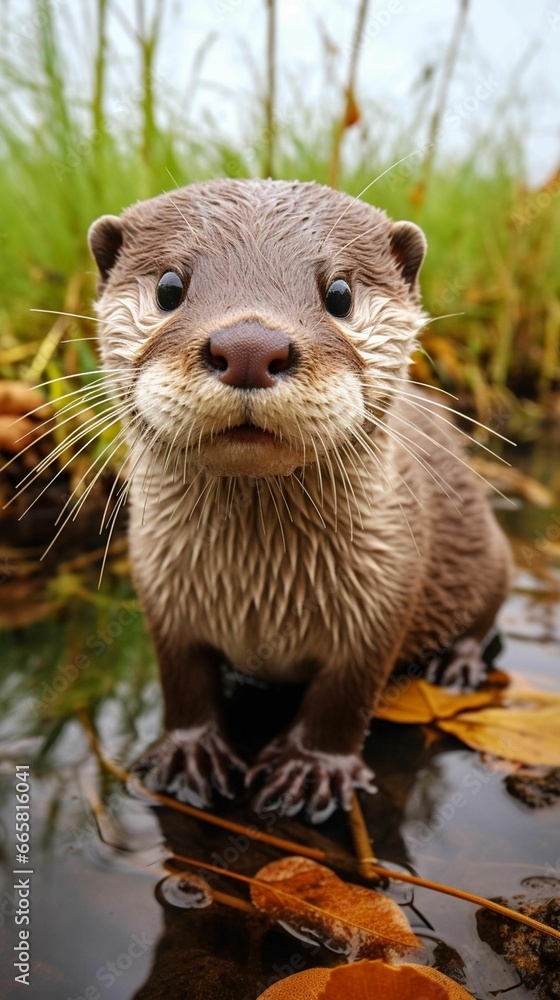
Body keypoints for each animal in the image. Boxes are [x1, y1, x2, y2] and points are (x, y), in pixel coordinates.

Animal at [88, 178, 512, 823]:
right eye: (169, 287)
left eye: (339, 293)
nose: (248, 346)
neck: (259, 594)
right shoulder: (161, 589)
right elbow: (184, 684)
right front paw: (190, 758)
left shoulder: (388, 590)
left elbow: (344, 698)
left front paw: (312, 772)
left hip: (489, 554)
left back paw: (457, 665)